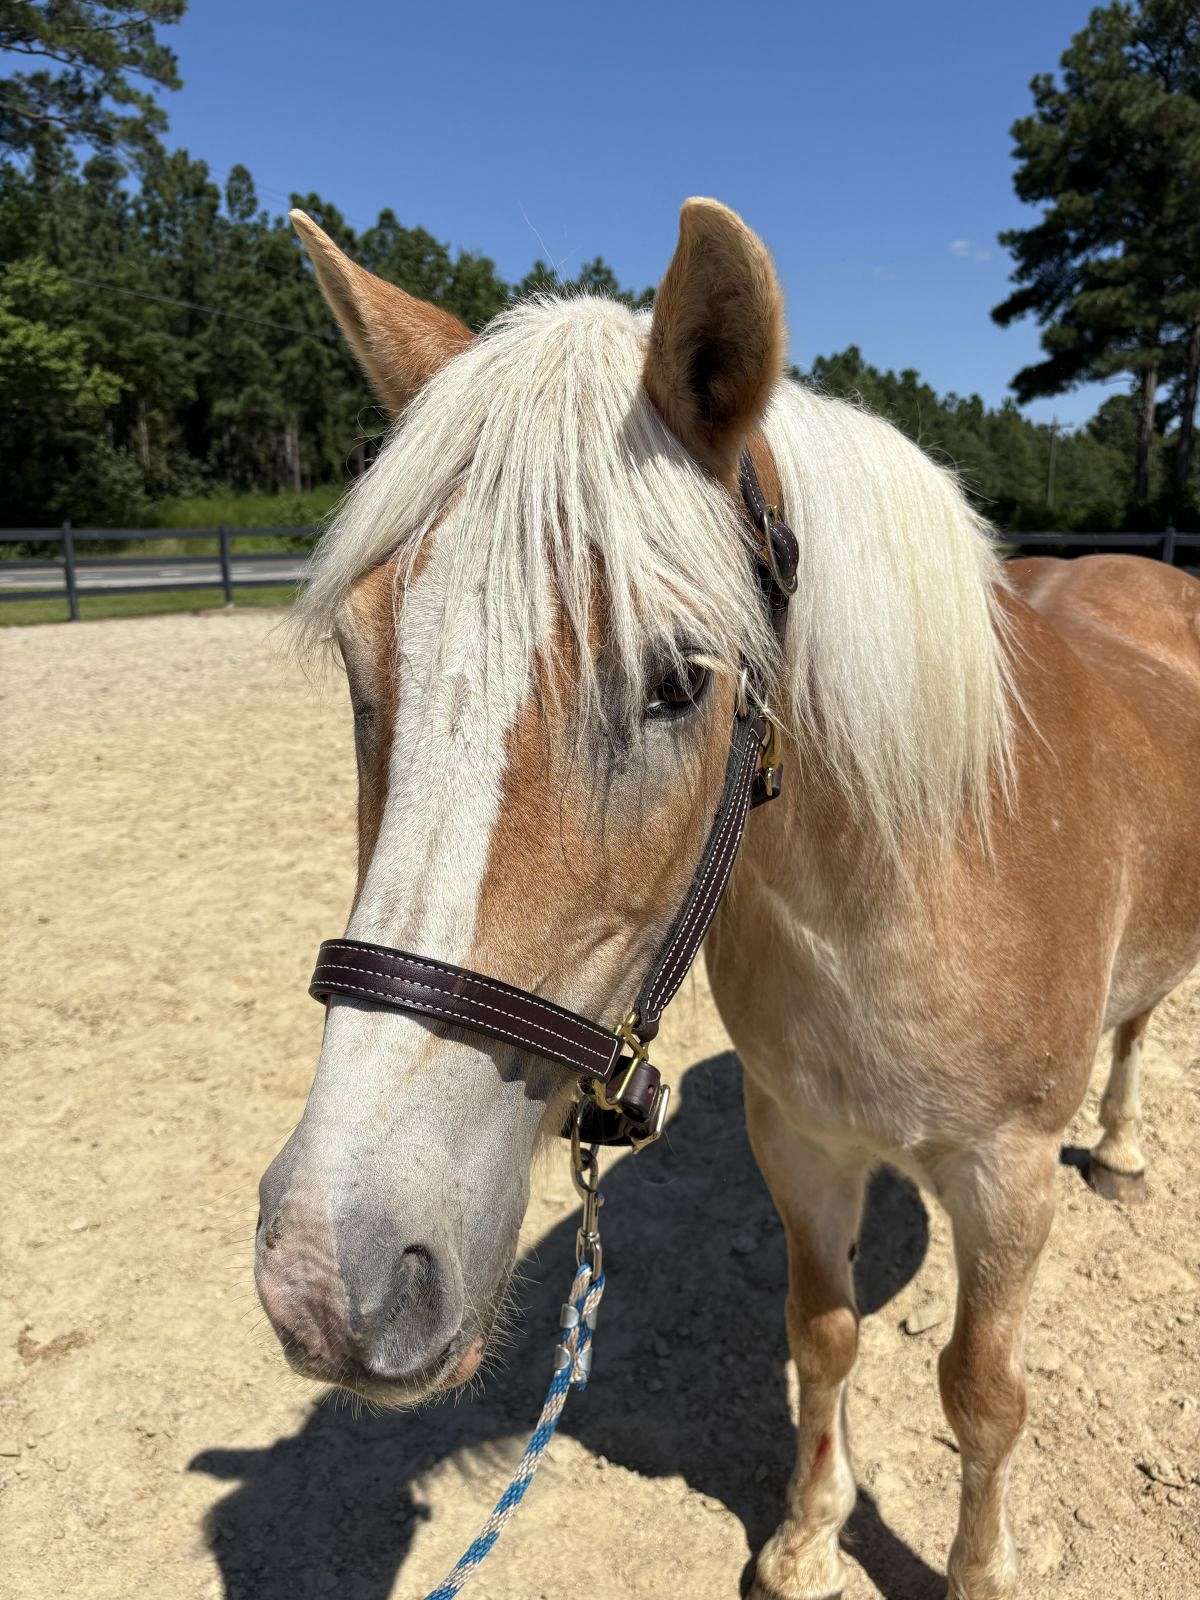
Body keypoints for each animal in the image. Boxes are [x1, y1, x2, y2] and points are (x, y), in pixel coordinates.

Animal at [253, 197, 1200, 1600]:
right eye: (365, 668)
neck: (913, 883)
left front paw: (977, 1569)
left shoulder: (1008, 1173)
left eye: (677, 680)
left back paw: (1127, 1147)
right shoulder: (798, 1138)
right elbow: (824, 1336)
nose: (335, 1274)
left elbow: (983, 1394)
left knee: (1137, 1027)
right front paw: (806, 1540)